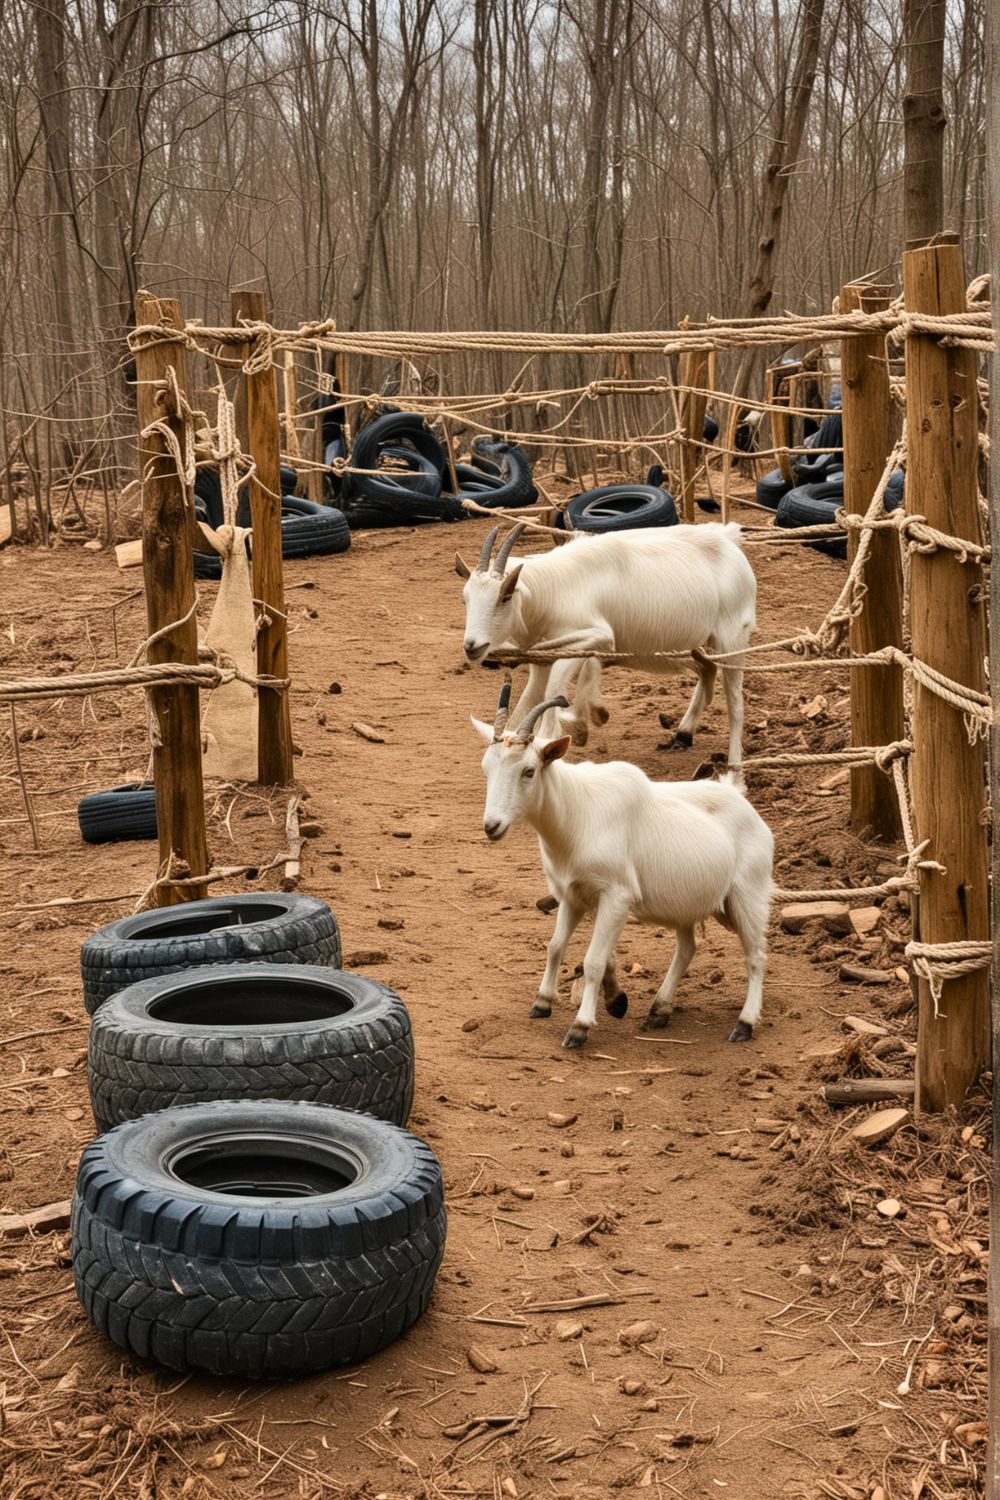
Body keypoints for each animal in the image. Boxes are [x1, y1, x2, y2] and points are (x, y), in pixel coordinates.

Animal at [456, 521, 756, 773]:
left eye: (505, 597)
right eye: (466, 598)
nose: (473, 645)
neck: (555, 589)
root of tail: (729, 540)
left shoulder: (596, 638)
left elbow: (555, 689)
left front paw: (577, 726)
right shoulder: (543, 660)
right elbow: (528, 701)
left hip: (732, 640)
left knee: (736, 703)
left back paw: (734, 769)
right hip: (685, 649)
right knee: (706, 669)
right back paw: (682, 735)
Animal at [471, 679, 773, 1050]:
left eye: (529, 770)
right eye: (487, 768)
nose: (492, 826)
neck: (578, 812)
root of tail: (744, 803)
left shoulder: (616, 896)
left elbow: (594, 960)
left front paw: (580, 1027)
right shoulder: (572, 896)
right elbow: (556, 947)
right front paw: (543, 1002)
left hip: (747, 897)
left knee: (756, 955)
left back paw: (744, 1024)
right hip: (687, 906)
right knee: (688, 947)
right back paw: (659, 1010)